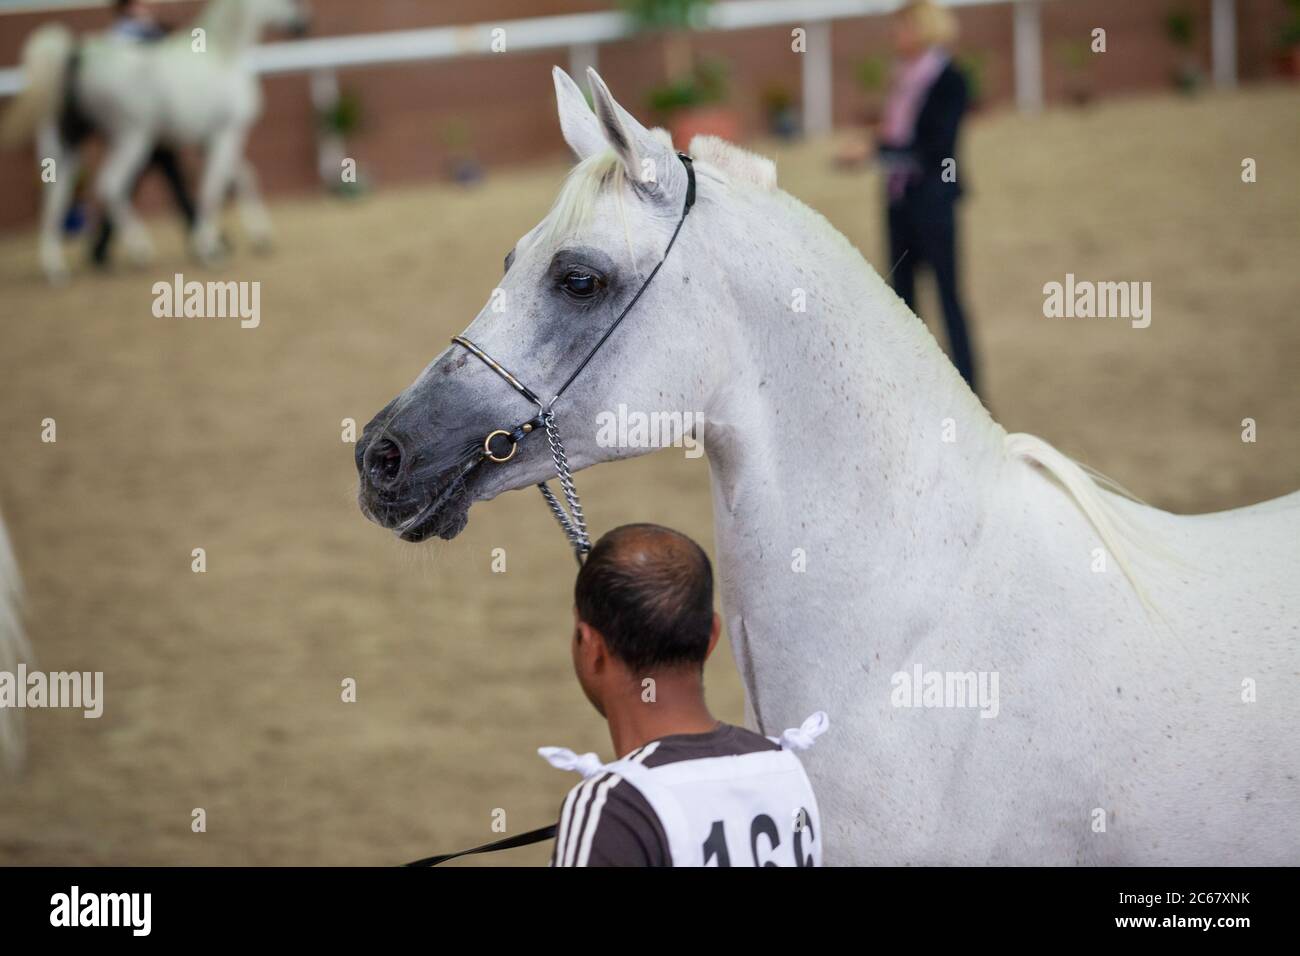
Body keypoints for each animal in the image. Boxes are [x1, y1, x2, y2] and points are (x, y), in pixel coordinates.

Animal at [0, 0, 310, 284]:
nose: (304, 23)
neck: (224, 55)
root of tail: (78, 55)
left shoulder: (212, 139)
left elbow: (244, 178)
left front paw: (260, 236)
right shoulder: (226, 134)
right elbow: (212, 189)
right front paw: (210, 250)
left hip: (71, 143)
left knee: (57, 197)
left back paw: (56, 269)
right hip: (132, 137)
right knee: (110, 185)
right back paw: (140, 250)